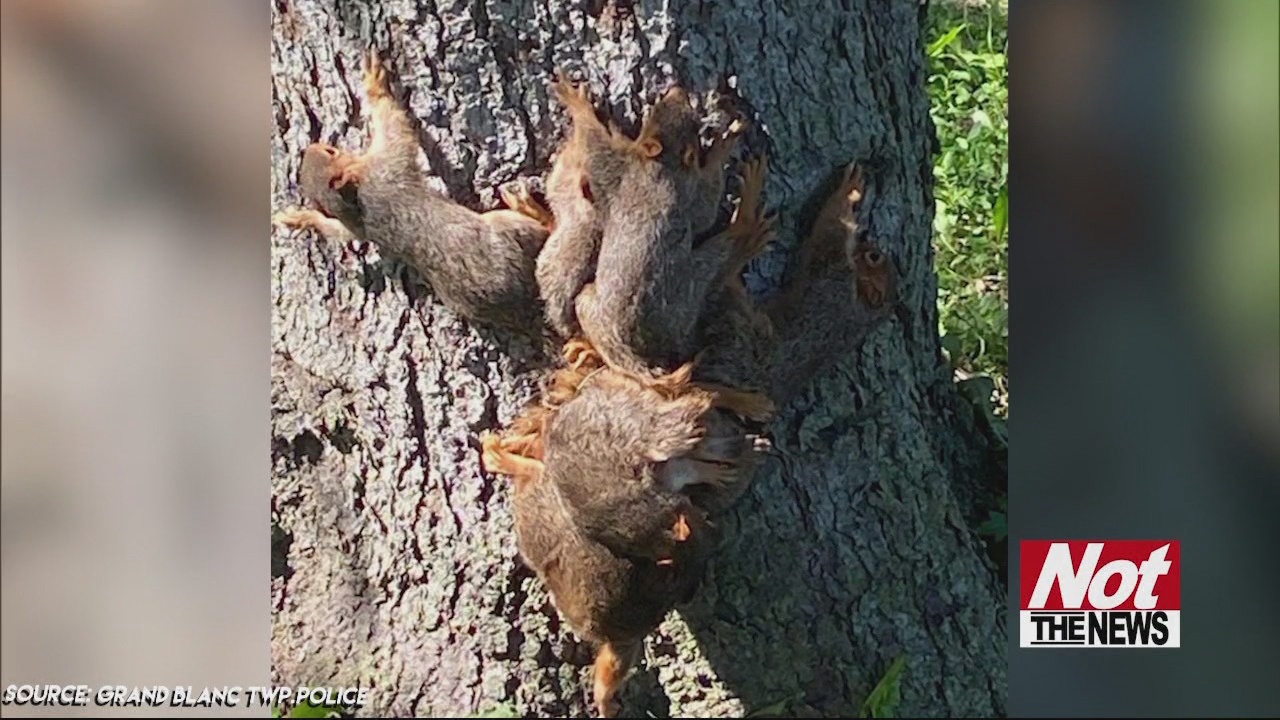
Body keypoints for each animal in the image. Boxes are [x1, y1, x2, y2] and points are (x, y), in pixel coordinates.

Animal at [271, 47, 552, 335]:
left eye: (328, 151)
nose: (310, 146)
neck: (354, 196)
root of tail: (520, 308)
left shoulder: (357, 222)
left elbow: (336, 230)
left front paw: (302, 218)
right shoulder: (389, 164)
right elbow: (394, 124)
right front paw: (375, 85)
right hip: (507, 232)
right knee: (540, 231)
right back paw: (534, 210)